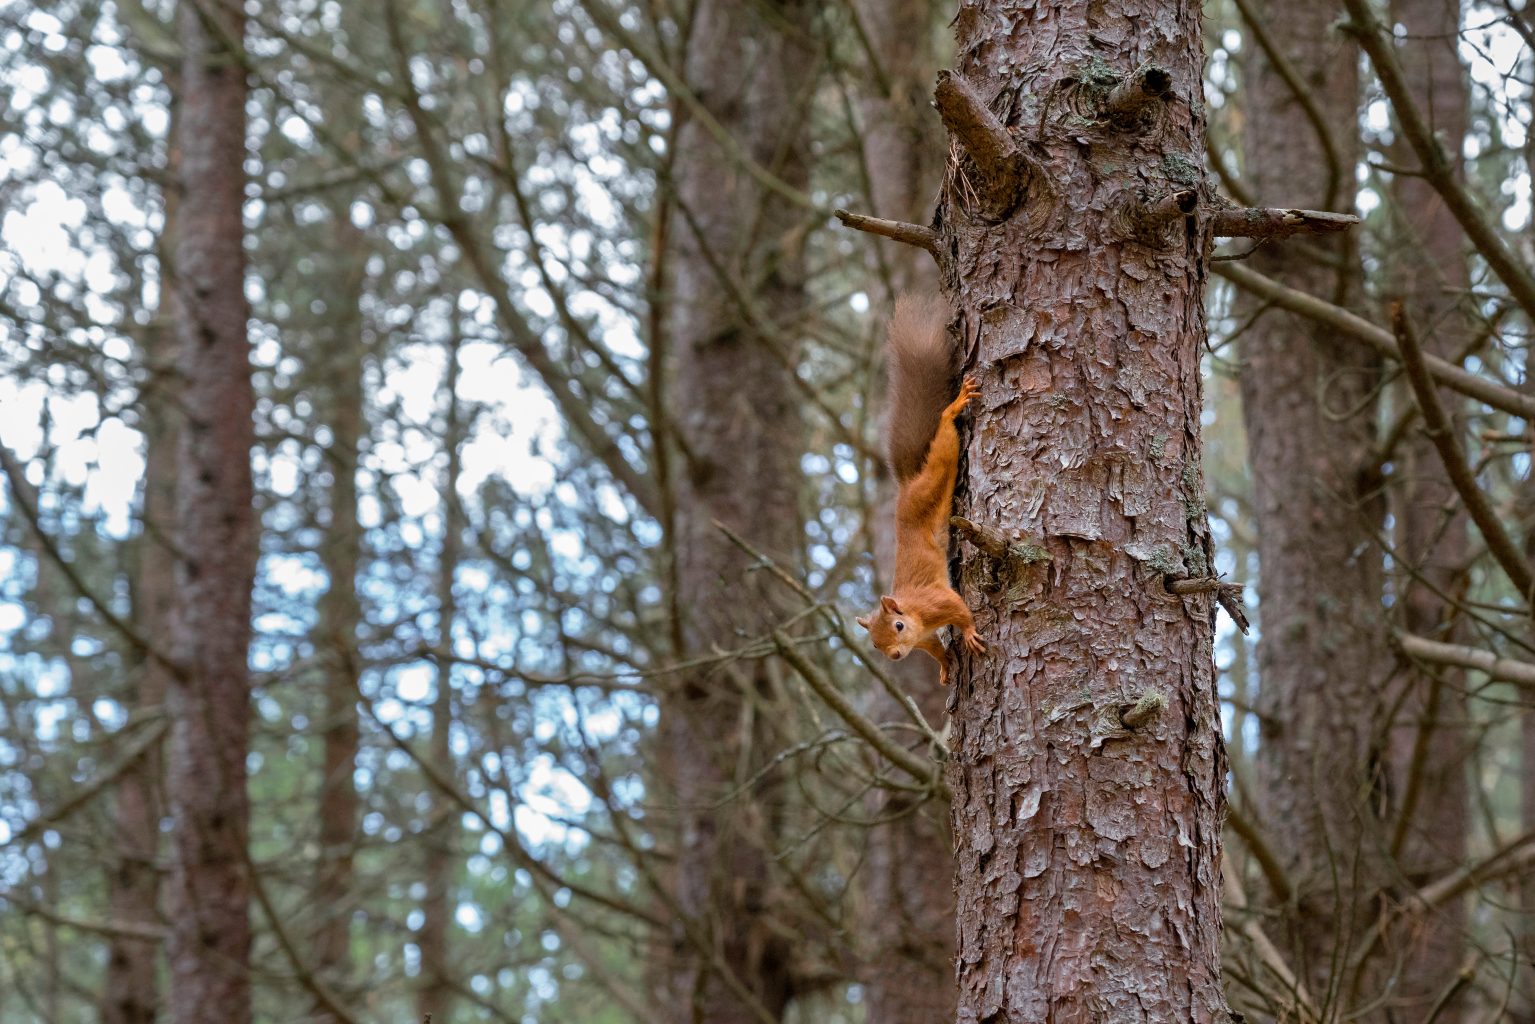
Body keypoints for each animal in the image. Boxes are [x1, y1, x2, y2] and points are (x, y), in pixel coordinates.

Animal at [855, 294, 986, 686]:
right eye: (875, 644)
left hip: (936, 474)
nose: (897, 656)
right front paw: (944, 666)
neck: (914, 614)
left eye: (897, 626)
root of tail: (907, 485)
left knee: (944, 439)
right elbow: (936, 650)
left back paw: (954, 407)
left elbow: (961, 611)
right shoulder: (925, 637)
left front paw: (969, 632)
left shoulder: (937, 601)